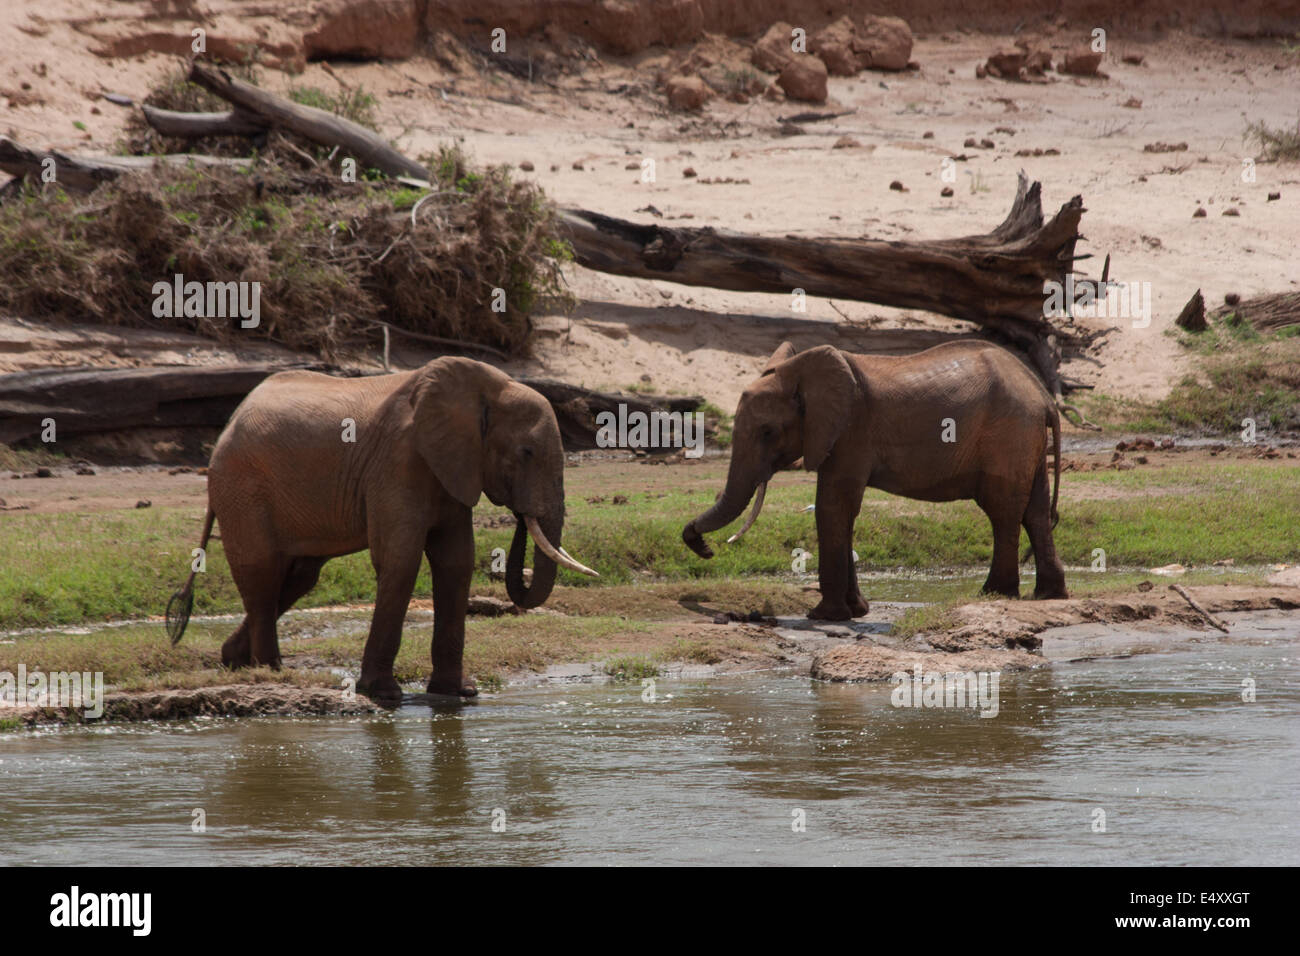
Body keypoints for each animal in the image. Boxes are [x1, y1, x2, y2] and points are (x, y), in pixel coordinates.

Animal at [173, 356, 596, 707]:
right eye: (526, 453)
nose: (522, 516)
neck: (487, 387)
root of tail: (231, 420)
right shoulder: (397, 462)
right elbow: (401, 559)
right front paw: (385, 693)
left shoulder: (451, 469)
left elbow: (456, 562)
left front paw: (460, 693)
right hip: (241, 486)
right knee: (262, 572)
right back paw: (271, 672)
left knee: (299, 577)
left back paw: (235, 660)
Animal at [682, 340, 1067, 620]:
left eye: (767, 431)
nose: (704, 546)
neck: (803, 378)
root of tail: (1044, 397)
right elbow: (843, 510)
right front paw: (857, 611)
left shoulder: (851, 429)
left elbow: (833, 506)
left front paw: (825, 616)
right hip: (1024, 437)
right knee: (1034, 511)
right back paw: (1047, 594)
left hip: (1009, 433)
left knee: (1002, 510)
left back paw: (995, 594)